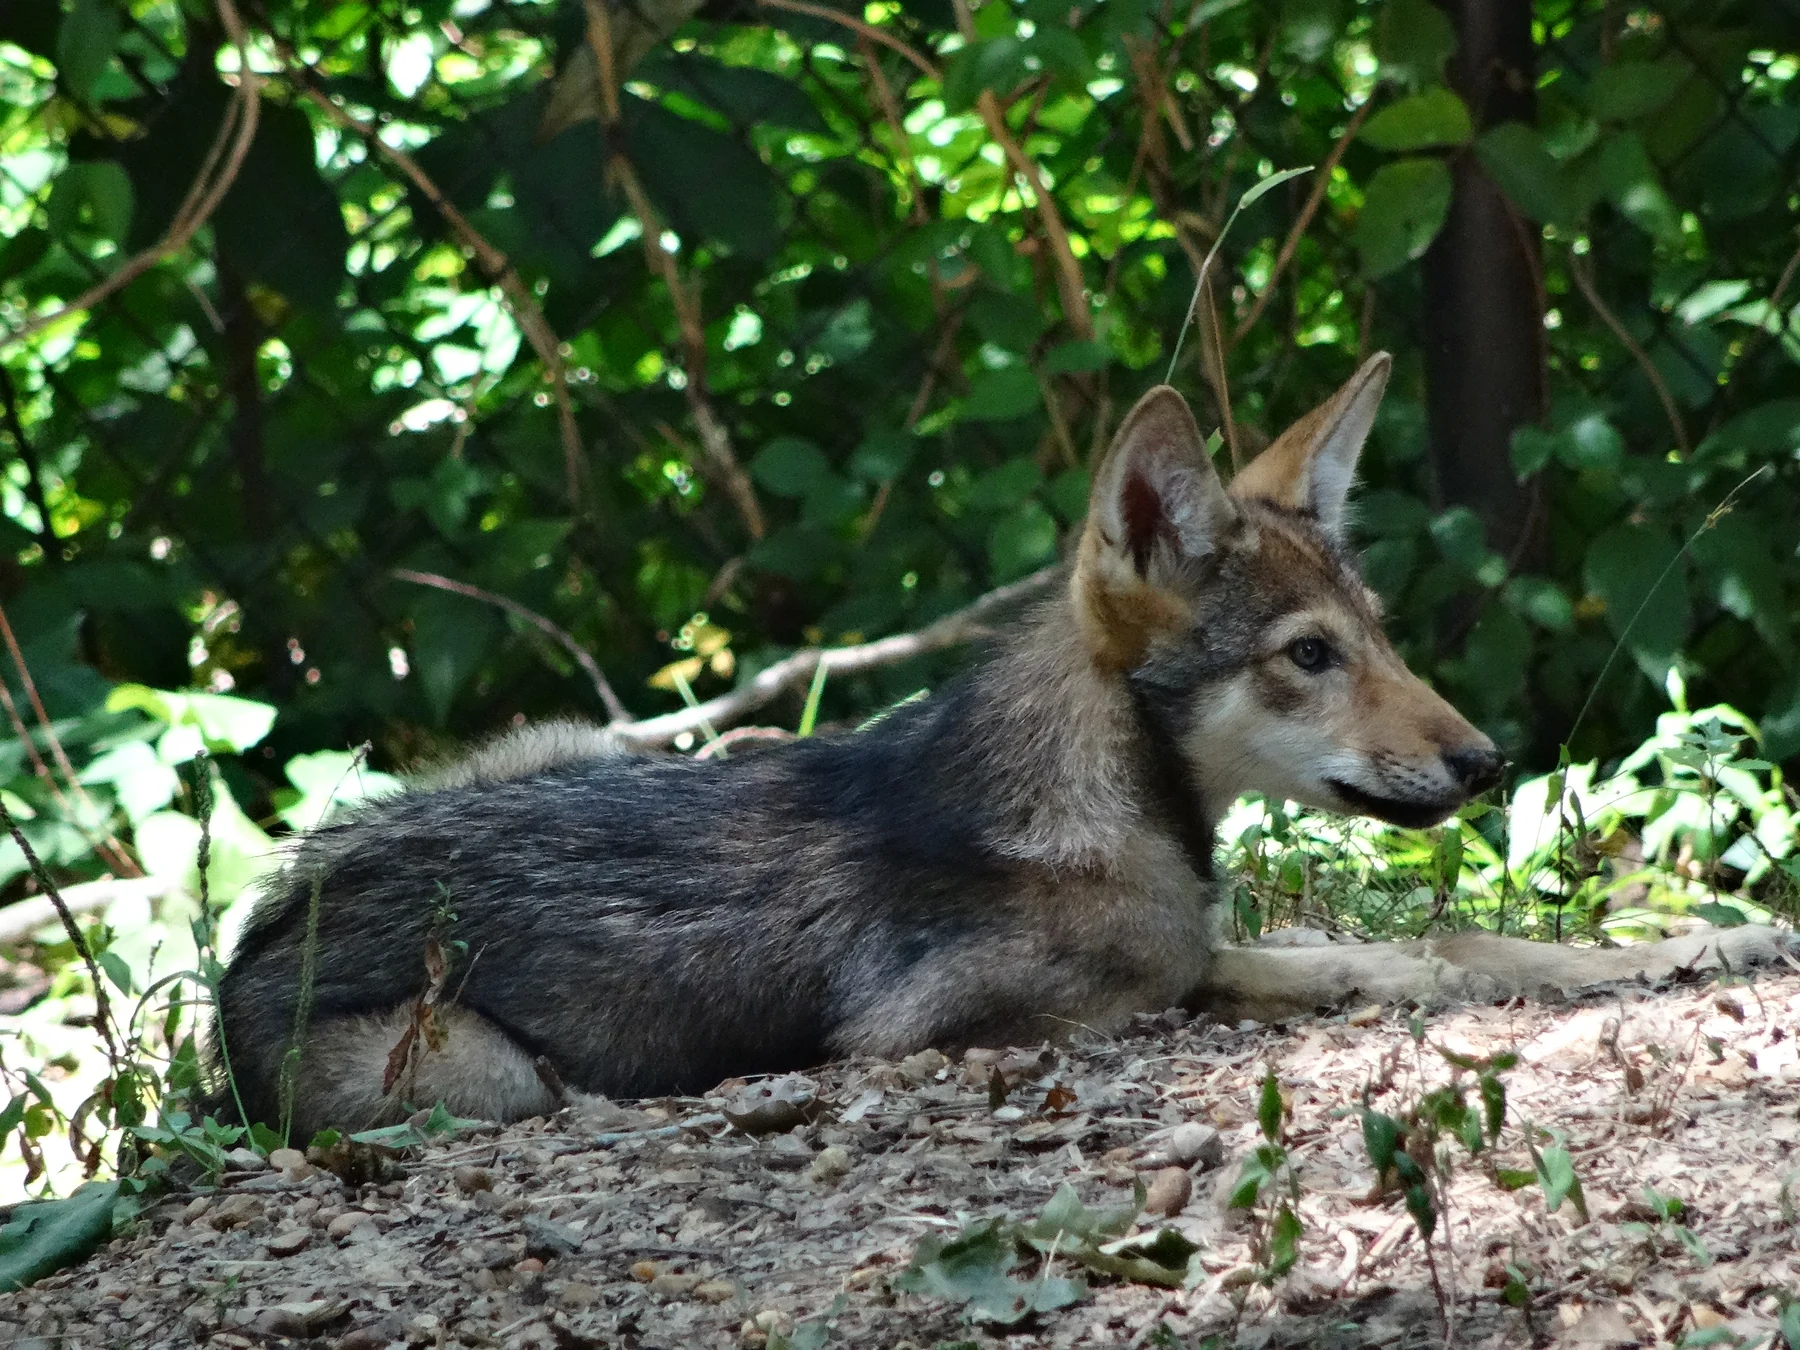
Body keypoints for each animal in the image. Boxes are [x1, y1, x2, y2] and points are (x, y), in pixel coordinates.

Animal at [216, 355, 1789, 1136]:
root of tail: (260, 933)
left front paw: (1716, 938)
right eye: (1307, 657)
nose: (1490, 762)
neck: (1101, 801)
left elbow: (1450, 942)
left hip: (574, 739)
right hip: (484, 1074)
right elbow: (1427, 958)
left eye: (1381, 636)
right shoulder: (962, 1022)